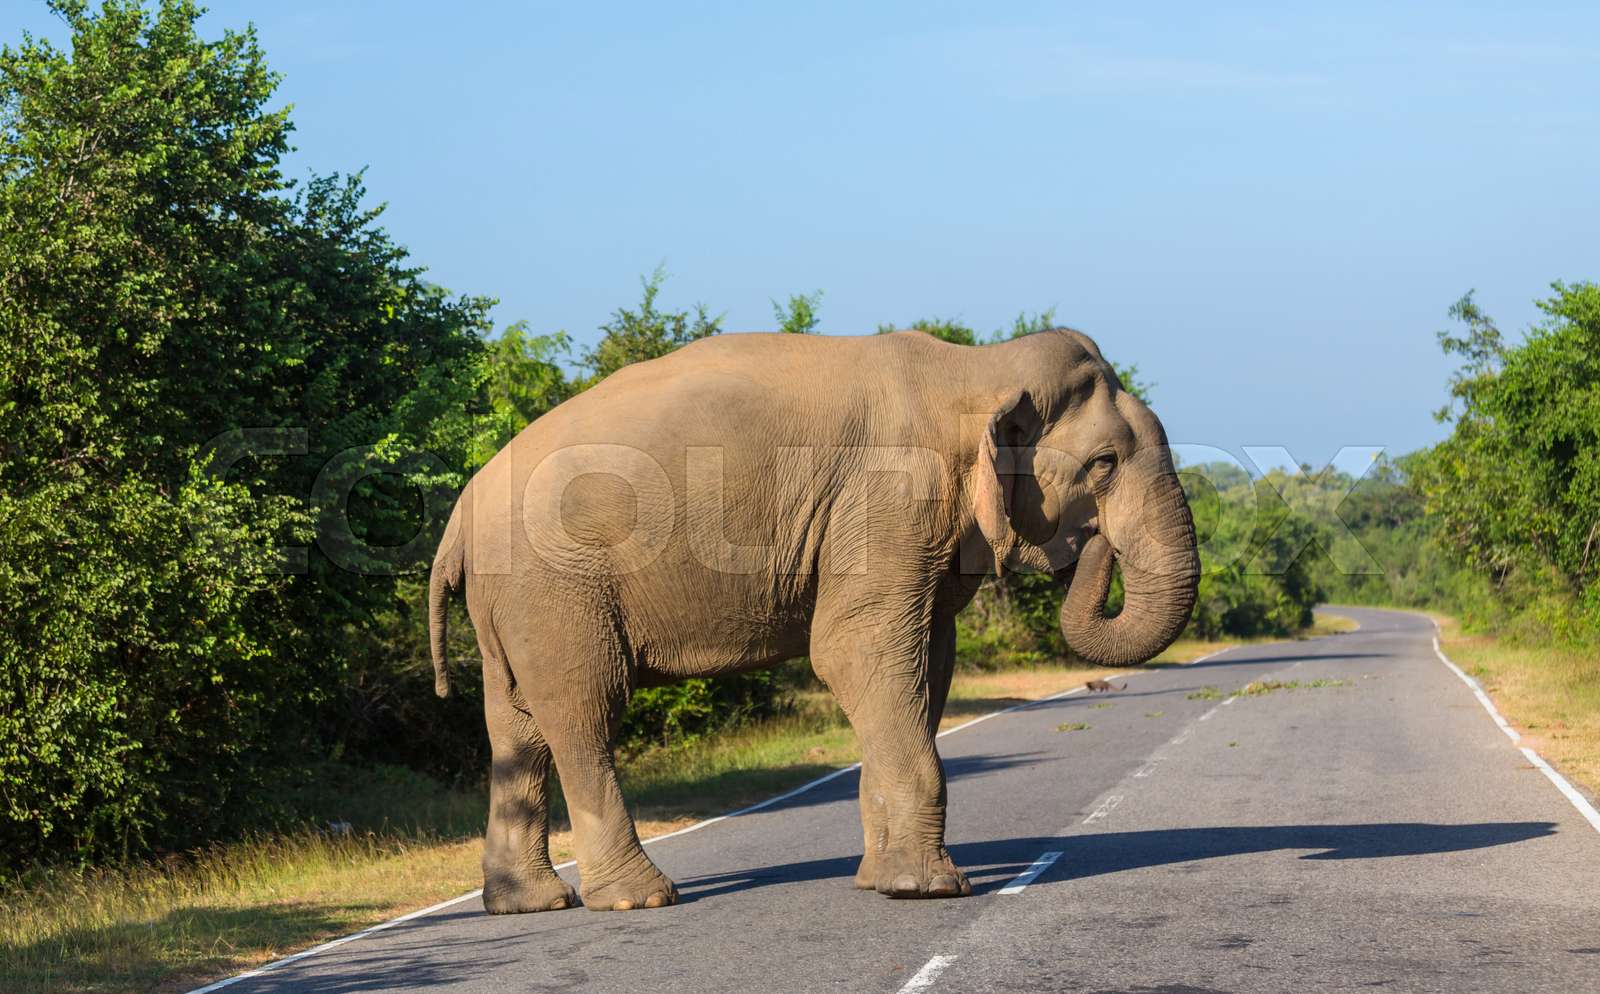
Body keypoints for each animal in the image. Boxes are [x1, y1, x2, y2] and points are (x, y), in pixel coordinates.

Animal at [427, 327, 1199, 913]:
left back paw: (530, 904)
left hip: (512, 602)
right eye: (1104, 463)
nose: (1096, 546)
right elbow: (855, 650)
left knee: (517, 727)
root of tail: (457, 517)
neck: (976, 365)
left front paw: (882, 879)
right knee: (585, 708)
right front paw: (929, 891)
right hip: (556, 585)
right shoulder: (888, 496)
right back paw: (640, 899)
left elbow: (926, 660)